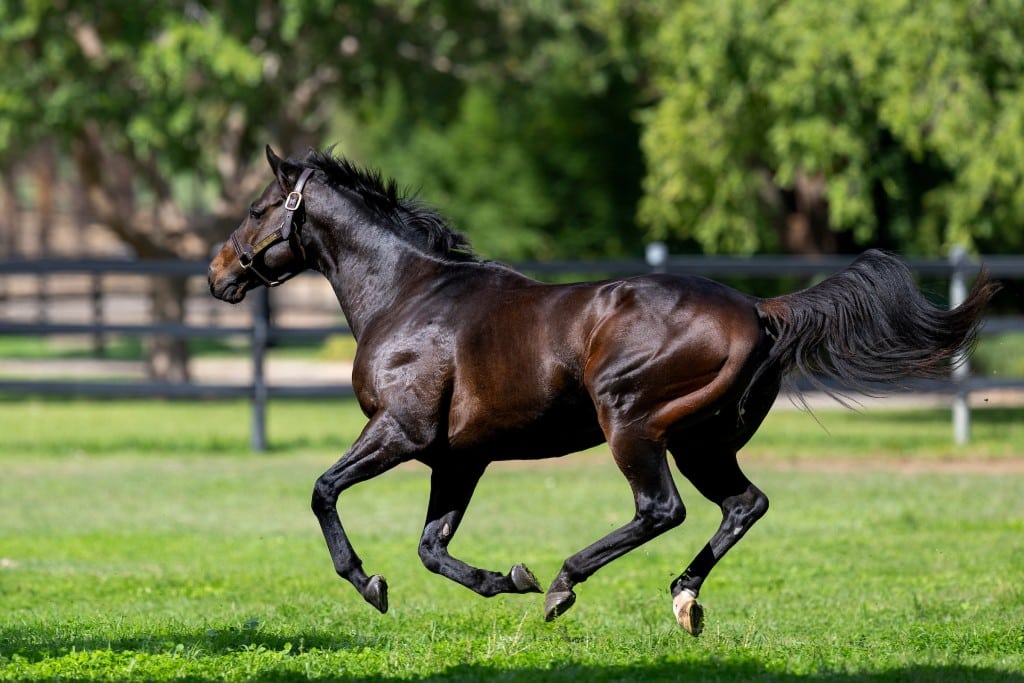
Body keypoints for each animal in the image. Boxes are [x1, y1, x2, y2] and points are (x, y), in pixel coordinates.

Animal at [209, 146, 995, 635]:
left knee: (662, 508)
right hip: (702, 441)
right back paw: (681, 600)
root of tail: (759, 310)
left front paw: (369, 583)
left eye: (257, 207)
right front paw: (507, 578)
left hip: (632, 423)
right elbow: (433, 546)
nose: (218, 273)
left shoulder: (400, 433)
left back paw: (566, 582)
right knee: (744, 505)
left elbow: (323, 491)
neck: (409, 293)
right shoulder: (458, 458)